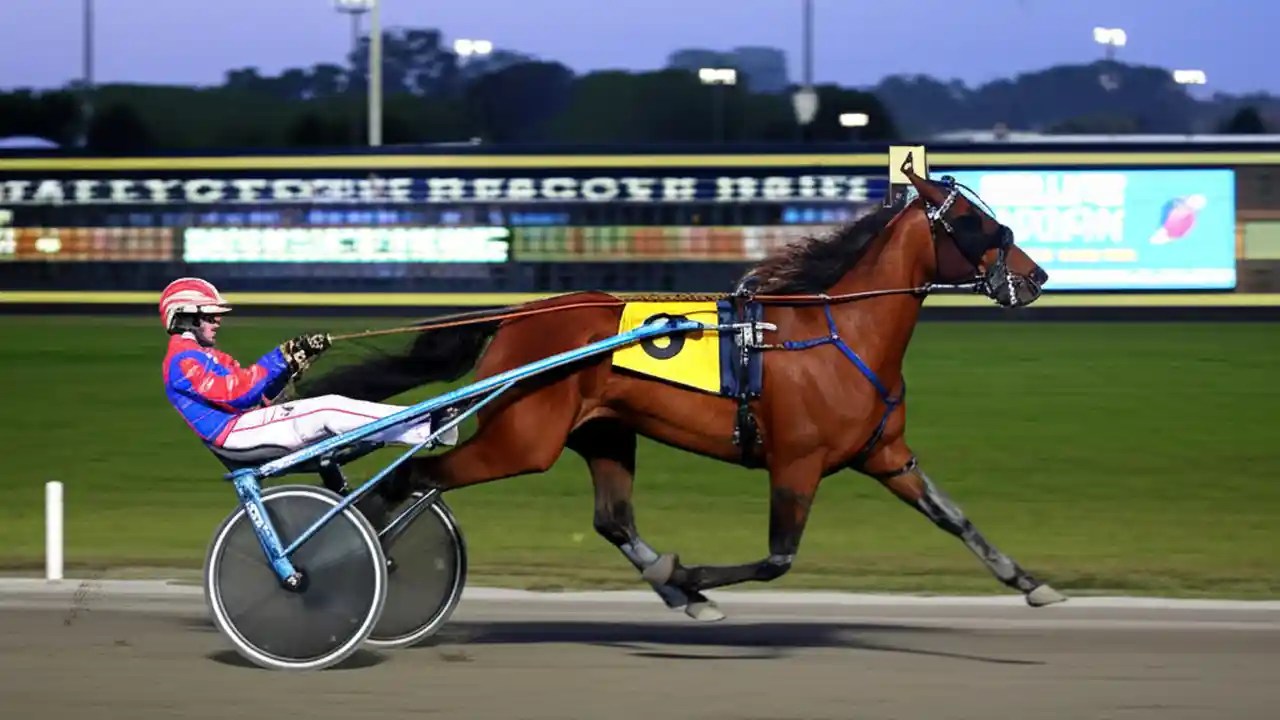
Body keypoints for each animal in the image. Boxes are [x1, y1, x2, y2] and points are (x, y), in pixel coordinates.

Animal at [327, 162, 1066, 620]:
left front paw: (1032, 584)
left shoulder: (885, 455)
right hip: (522, 439)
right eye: (975, 222)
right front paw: (689, 576)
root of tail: (518, 317)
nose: (1037, 276)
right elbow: (777, 559)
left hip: (602, 432)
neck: (840, 334)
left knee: (612, 519)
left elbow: (955, 518)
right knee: (415, 477)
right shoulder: (796, 462)